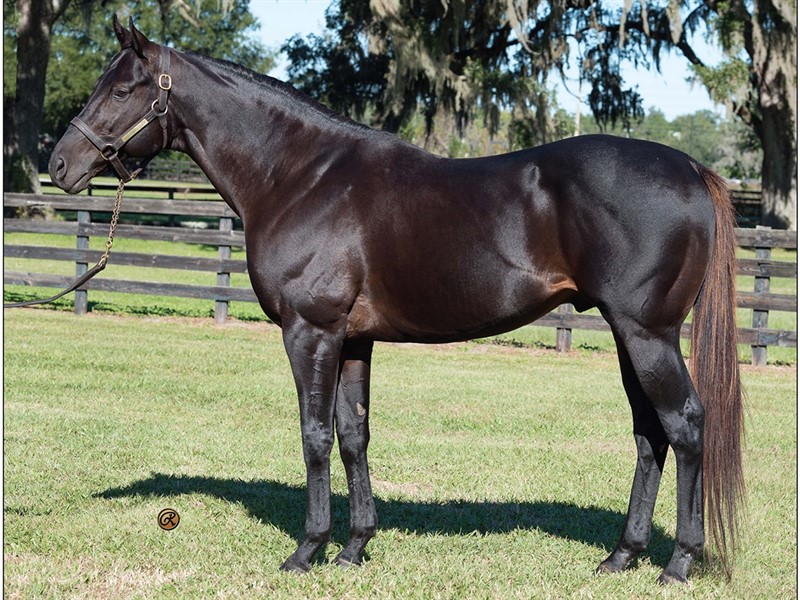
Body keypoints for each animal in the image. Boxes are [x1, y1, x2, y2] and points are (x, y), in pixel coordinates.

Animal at [48, 17, 744, 584]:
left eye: (119, 91)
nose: (59, 165)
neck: (301, 177)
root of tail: (691, 169)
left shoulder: (311, 331)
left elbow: (314, 435)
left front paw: (308, 550)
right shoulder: (354, 338)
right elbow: (353, 434)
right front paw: (355, 547)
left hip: (647, 333)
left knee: (685, 425)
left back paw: (678, 563)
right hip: (630, 336)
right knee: (650, 435)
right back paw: (620, 557)